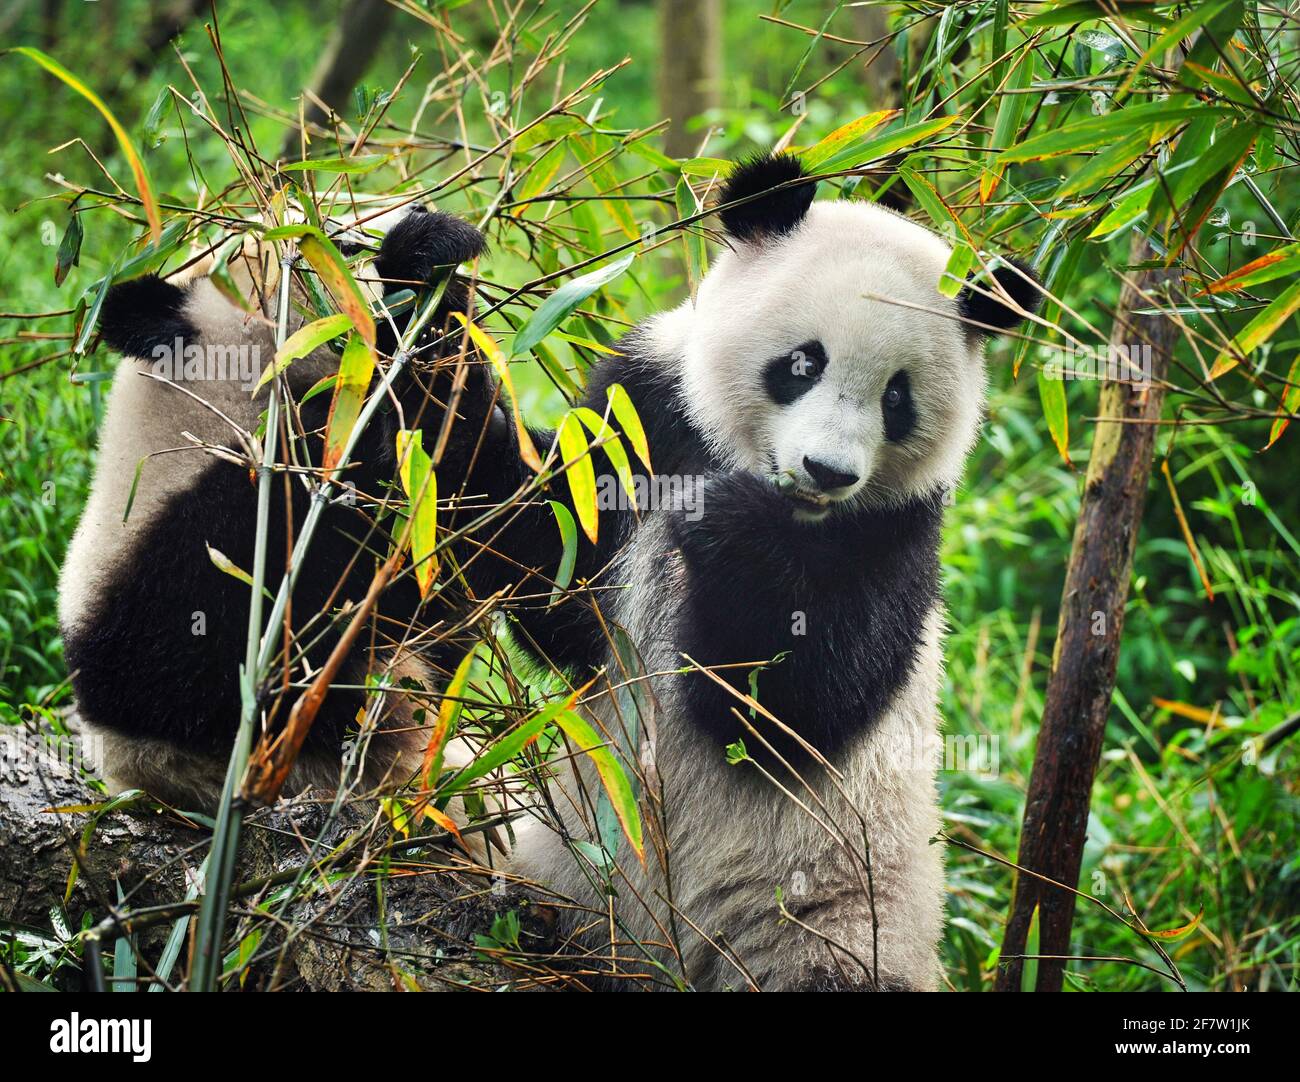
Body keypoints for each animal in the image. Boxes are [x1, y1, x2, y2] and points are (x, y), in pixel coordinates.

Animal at [62, 152, 1039, 991]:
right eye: (802, 364)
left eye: (898, 398)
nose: (825, 473)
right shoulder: (638, 419)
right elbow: (518, 576)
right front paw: (432, 317)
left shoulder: (895, 529)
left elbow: (795, 704)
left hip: (833, 920)